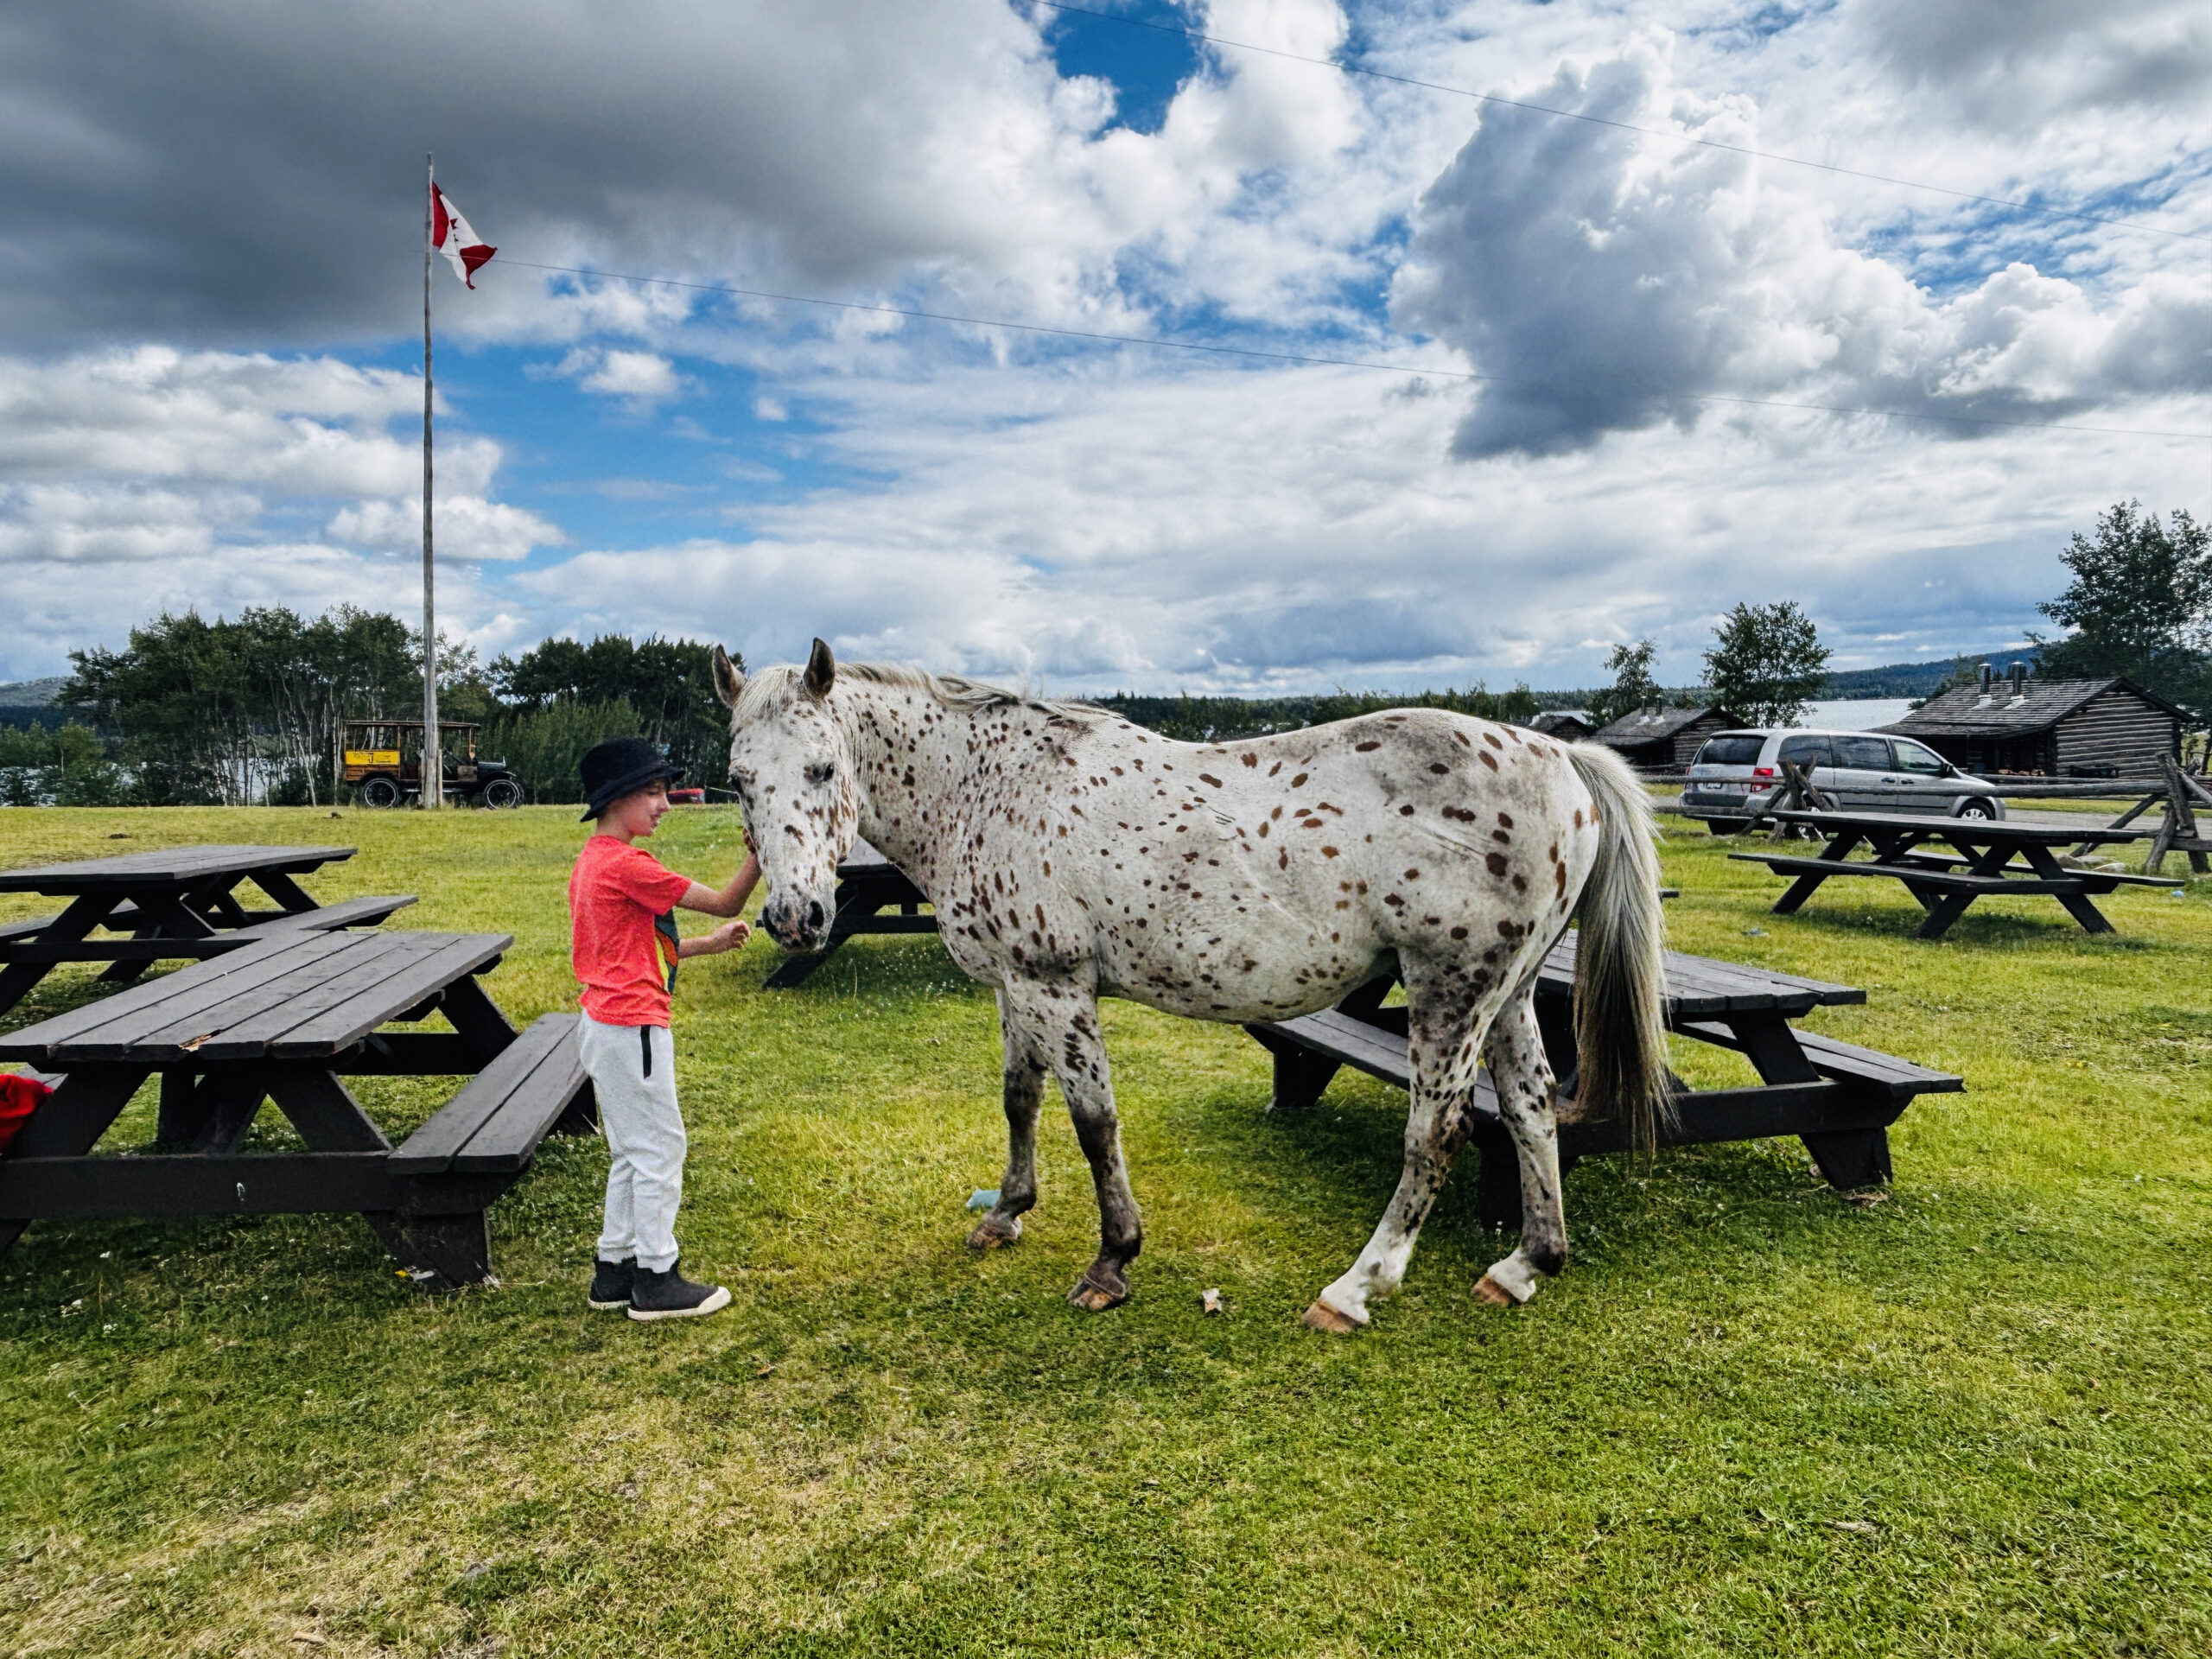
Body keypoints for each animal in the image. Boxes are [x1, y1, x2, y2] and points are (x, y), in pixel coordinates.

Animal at [712, 639, 1669, 1331]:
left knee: (1436, 1133)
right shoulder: (1013, 987)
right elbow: (1019, 1100)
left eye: (823, 769)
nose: (795, 916)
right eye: (738, 780)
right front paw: (1006, 1214)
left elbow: (1093, 1125)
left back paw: (1356, 1289)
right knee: (1532, 1107)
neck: (991, 790)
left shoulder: (1057, 989)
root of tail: (1560, 756)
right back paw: (1526, 1265)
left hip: (1452, 992)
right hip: (1508, 995)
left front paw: (1111, 1262)